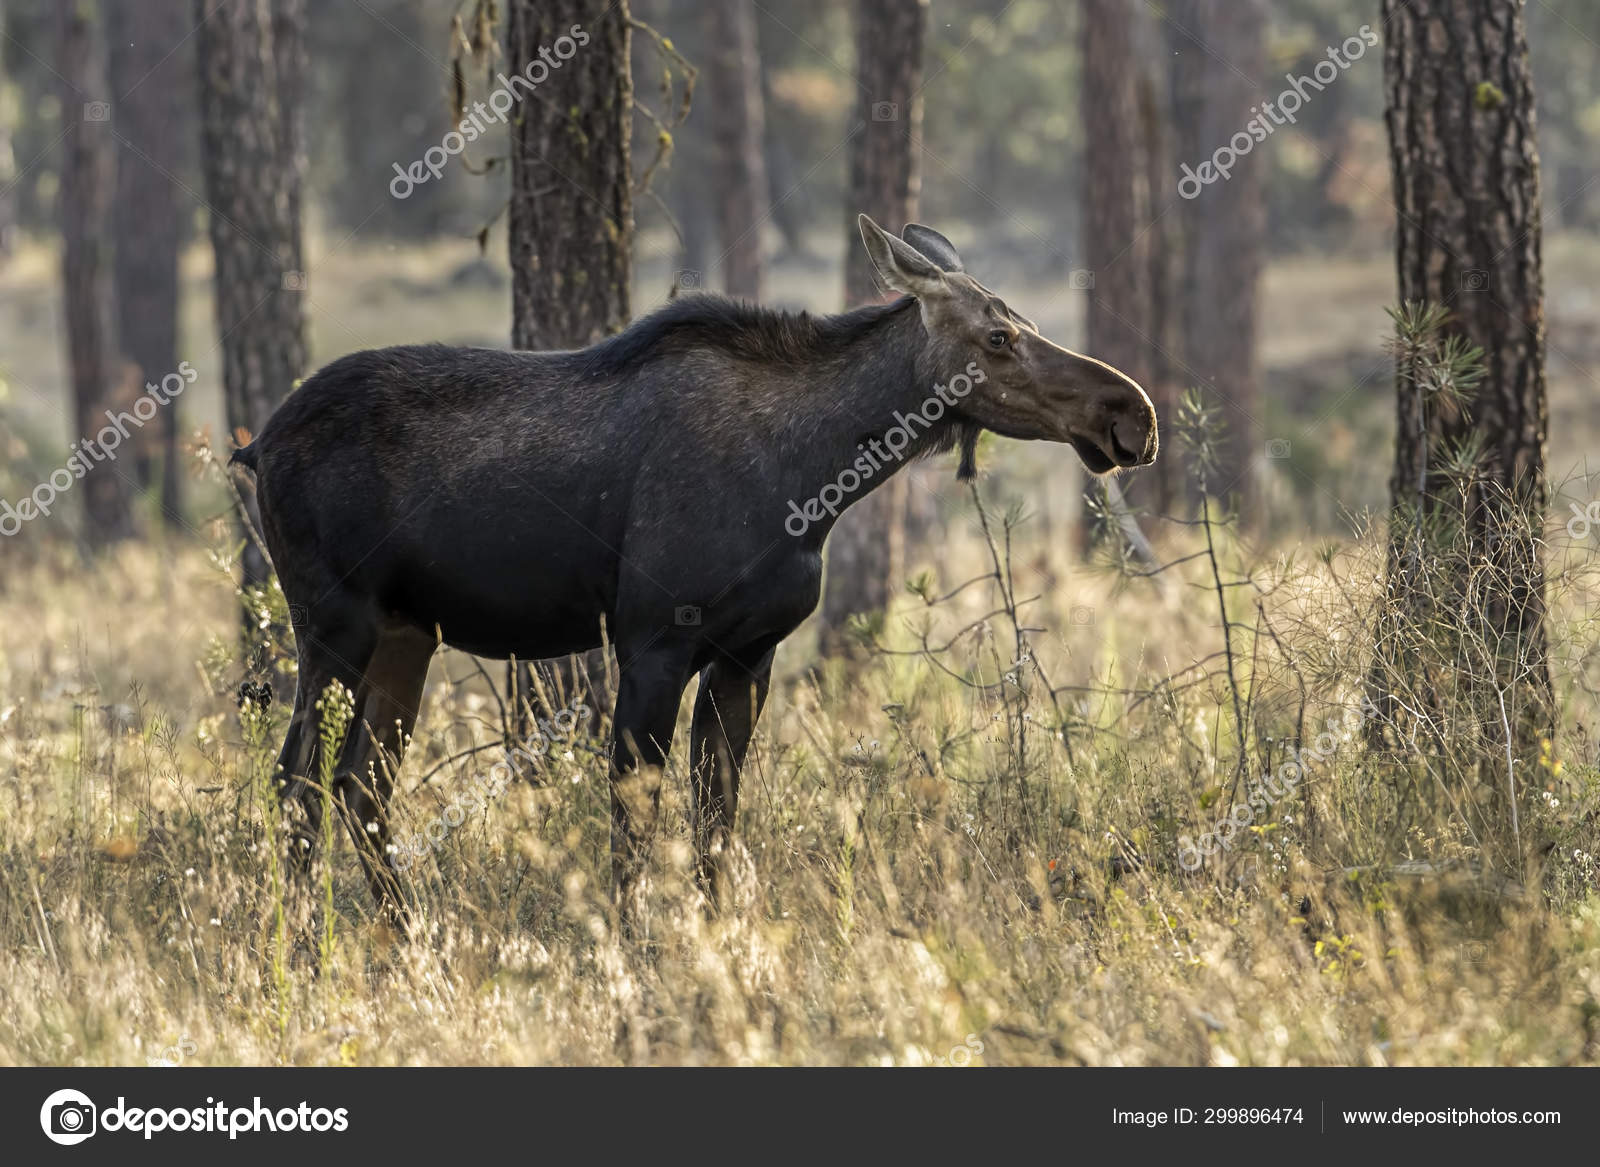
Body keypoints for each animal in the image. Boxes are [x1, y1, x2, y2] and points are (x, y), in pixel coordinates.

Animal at [231, 214, 1157, 927]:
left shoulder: (751, 653)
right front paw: (635, 953)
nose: (1132, 413)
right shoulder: (652, 641)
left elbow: (715, 823)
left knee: (359, 786)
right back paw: (307, 950)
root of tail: (256, 447)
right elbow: (636, 820)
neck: (817, 475)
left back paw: (409, 938)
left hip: (406, 634)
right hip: (335, 622)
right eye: (999, 336)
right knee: (296, 781)